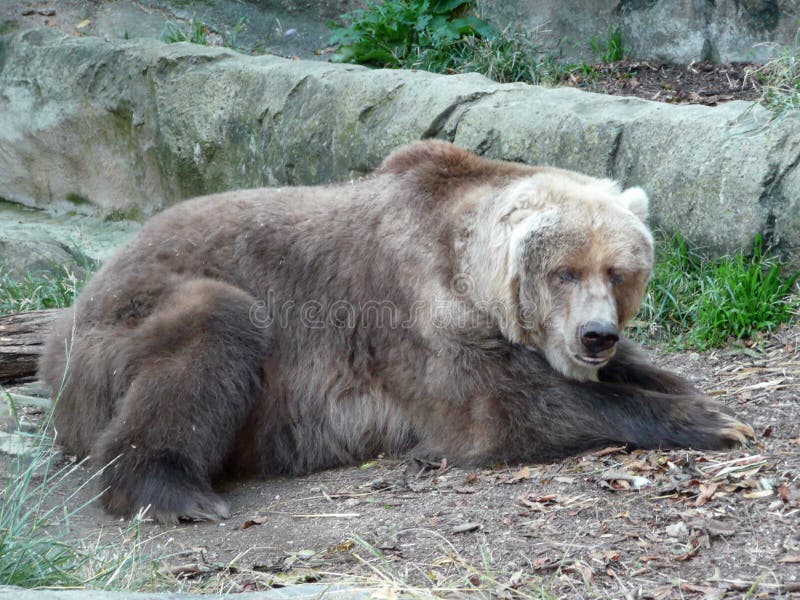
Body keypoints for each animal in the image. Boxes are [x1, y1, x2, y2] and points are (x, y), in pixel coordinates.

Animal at [39, 140, 754, 523]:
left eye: (620, 271)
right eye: (565, 271)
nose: (595, 335)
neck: (468, 271)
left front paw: (698, 395)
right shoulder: (414, 319)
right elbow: (504, 413)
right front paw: (710, 421)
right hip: (128, 321)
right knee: (213, 329)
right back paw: (176, 492)